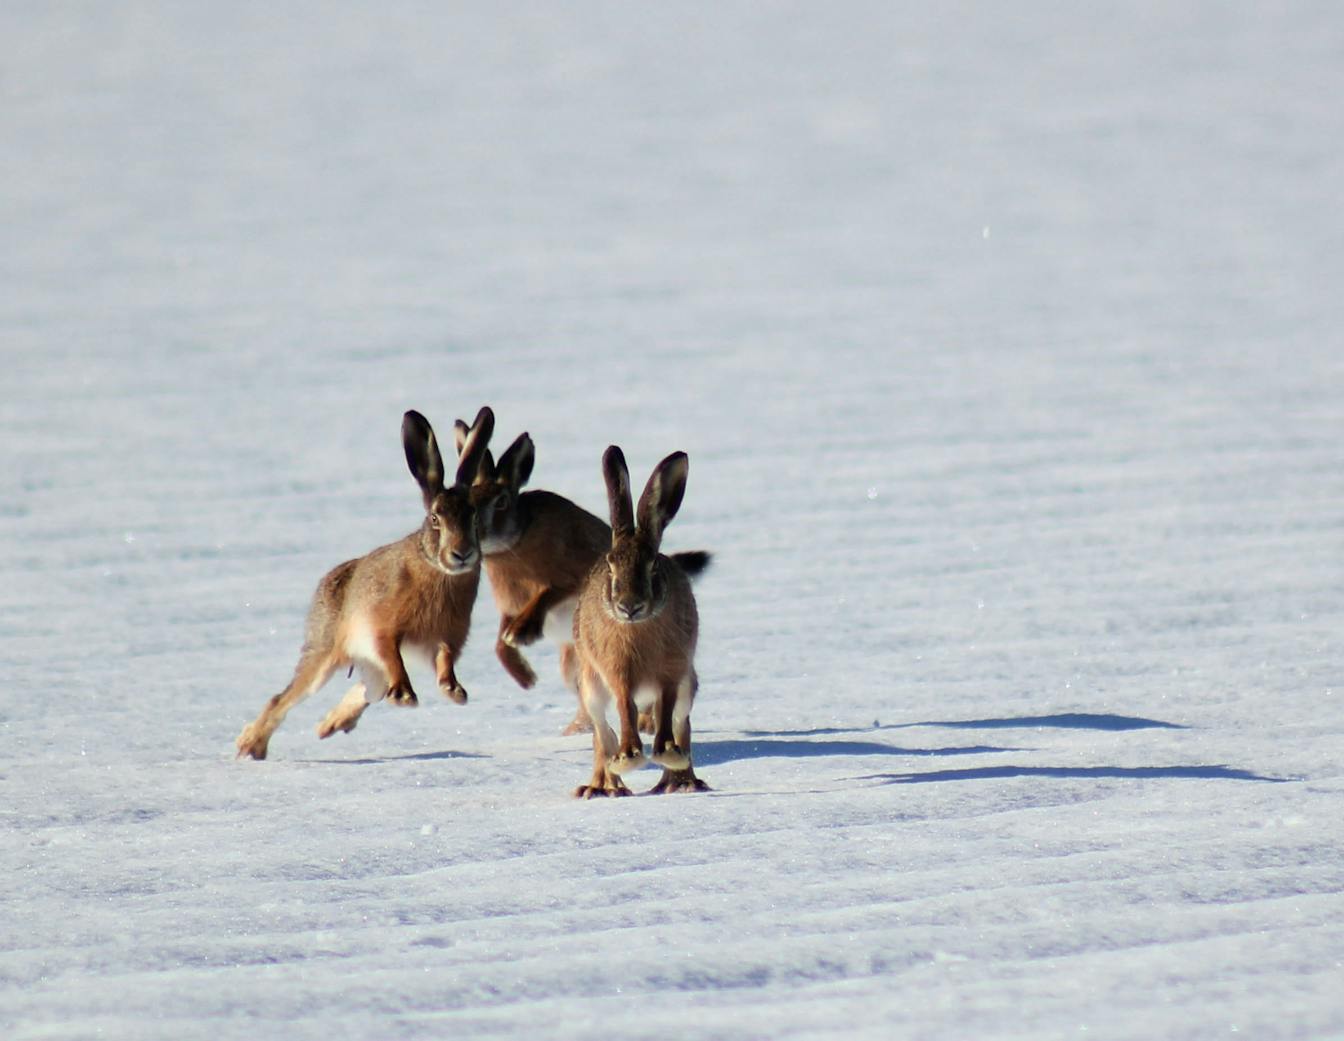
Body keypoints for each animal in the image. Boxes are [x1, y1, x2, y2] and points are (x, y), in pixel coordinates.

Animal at [234, 407, 494, 760]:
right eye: (435, 519)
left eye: (475, 517)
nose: (462, 554)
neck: (435, 569)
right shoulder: (380, 627)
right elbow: (392, 655)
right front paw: (406, 696)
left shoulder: (449, 636)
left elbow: (444, 660)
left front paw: (453, 690)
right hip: (325, 651)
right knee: (286, 696)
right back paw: (251, 746)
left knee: (366, 690)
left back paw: (330, 724)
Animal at [454, 419, 711, 737]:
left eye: (500, 502)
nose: (465, 542)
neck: (519, 537)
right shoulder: (510, 606)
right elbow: (500, 643)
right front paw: (525, 674)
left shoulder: (569, 578)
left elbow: (547, 594)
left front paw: (523, 634)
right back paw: (578, 728)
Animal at [570, 445, 709, 797]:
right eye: (610, 565)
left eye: (652, 565)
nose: (629, 607)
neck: (639, 627)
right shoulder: (617, 671)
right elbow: (625, 707)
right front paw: (630, 757)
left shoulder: (673, 670)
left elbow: (665, 707)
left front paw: (665, 752)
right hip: (590, 688)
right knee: (602, 736)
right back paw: (603, 786)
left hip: (688, 685)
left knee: (681, 724)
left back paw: (681, 780)